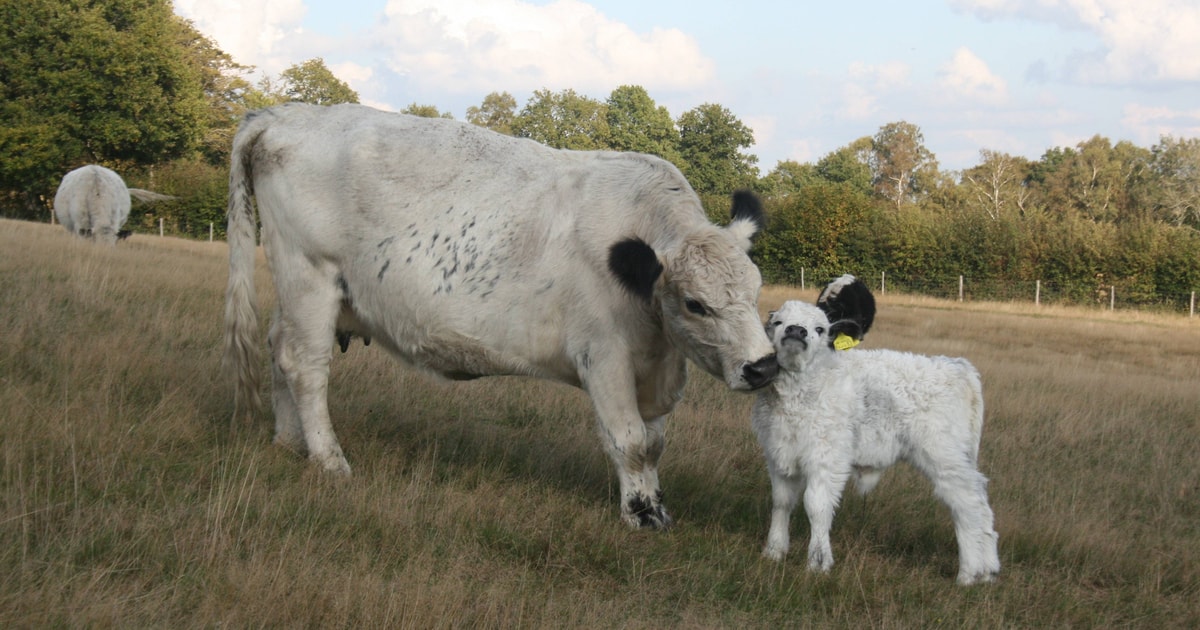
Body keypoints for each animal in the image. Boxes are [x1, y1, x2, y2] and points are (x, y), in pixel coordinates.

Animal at [223, 103, 779, 529]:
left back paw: (287, 441)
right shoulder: (604, 355)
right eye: (695, 303)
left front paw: (657, 507)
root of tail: (285, 113)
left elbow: (656, 443)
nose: (763, 366)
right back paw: (329, 460)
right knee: (306, 368)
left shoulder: (656, 368)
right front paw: (640, 515)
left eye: (755, 290)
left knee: (279, 352)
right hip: (309, 275)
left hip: (300, 294)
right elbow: (632, 442)